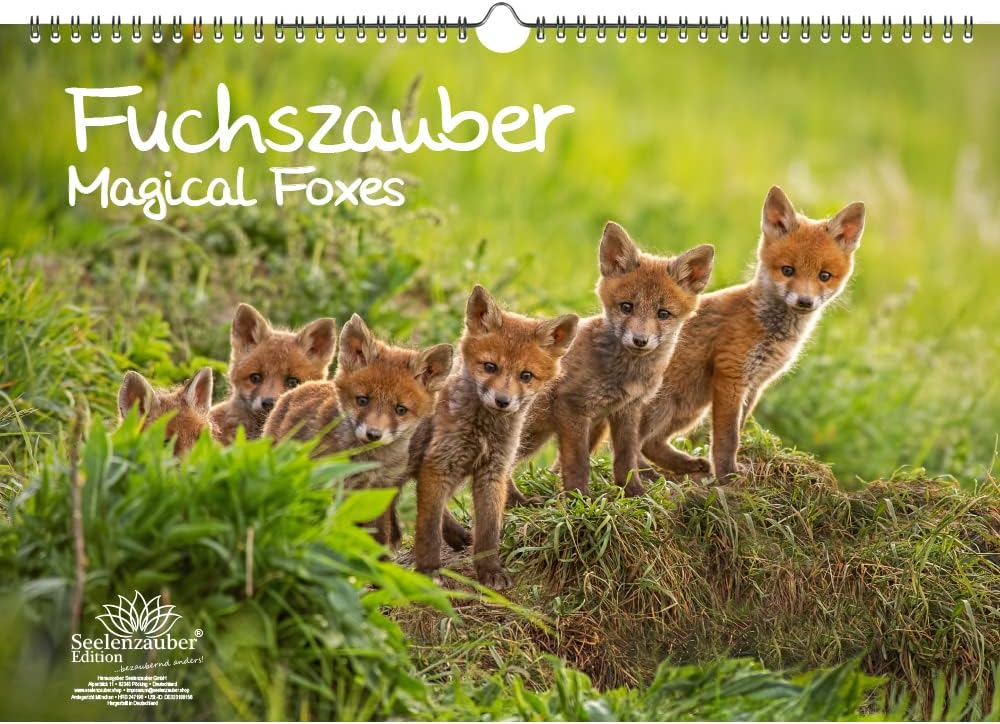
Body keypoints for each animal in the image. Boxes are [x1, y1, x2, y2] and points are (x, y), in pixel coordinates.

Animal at [264, 314, 453, 548]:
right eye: (362, 400)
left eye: (400, 410)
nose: (373, 434)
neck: (369, 464)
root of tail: (302, 386)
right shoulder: (333, 484)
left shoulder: (382, 489)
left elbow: (379, 536)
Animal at [410, 285, 578, 589]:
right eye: (490, 367)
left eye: (526, 375)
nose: (503, 401)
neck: (484, 431)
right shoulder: (438, 464)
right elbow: (427, 528)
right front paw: (428, 570)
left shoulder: (493, 471)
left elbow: (489, 530)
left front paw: (490, 570)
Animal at [514, 222, 714, 498]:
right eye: (626, 307)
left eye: (663, 314)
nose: (640, 340)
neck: (626, 375)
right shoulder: (571, 406)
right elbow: (578, 462)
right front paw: (579, 497)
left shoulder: (627, 409)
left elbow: (625, 459)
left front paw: (634, 492)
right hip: (531, 432)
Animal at [638, 186, 865, 481]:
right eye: (788, 270)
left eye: (824, 276)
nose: (805, 301)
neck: (770, 330)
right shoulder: (731, 374)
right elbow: (728, 437)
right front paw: (728, 477)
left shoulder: (755, 384)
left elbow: (738, 427)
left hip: (686, 406)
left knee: (650, 443)